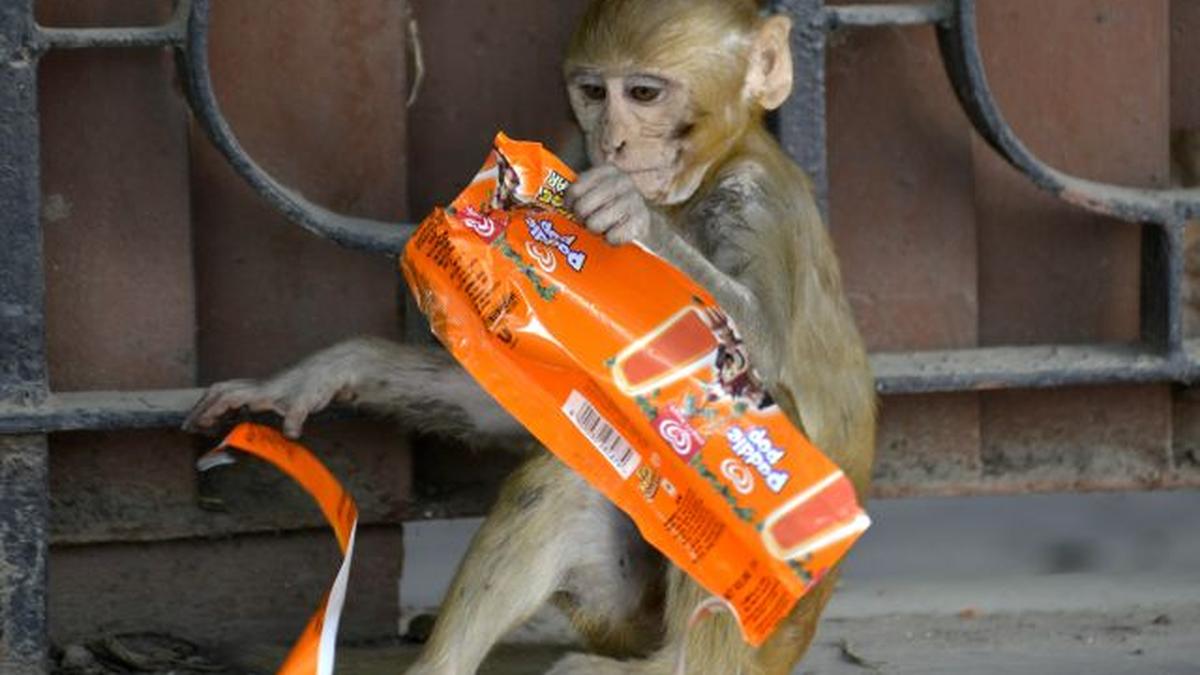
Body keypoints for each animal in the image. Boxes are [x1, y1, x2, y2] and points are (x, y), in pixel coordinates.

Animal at [184, 1, 876, 673]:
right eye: (594, 92)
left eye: (644, 93)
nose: (611, 141)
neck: (702, 177)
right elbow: (533, 399)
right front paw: (325, 370)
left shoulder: (754, 205)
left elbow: (755, 350)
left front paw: (631, 216)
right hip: (617, 612)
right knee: (567, 477)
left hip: (747, 642)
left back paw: (671, 663)